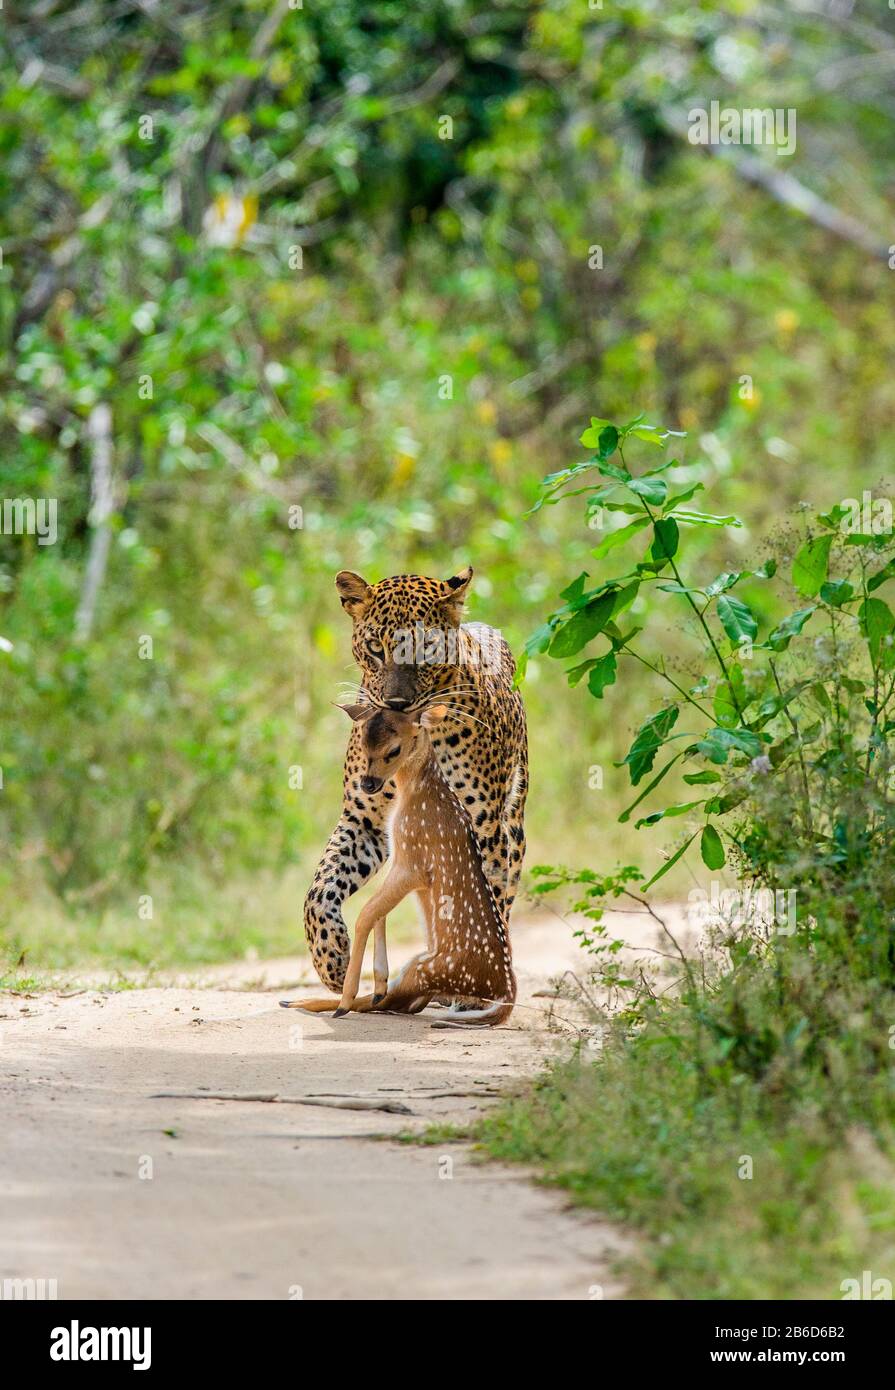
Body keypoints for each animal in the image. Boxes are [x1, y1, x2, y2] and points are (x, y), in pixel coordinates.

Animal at [300, 565, 528, 992]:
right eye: (375, 647)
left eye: (428, 648)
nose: (397, 704)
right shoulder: (365, 819)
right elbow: (319, 889)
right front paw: (333, 961)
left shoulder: (481, 829)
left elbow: (482, 904)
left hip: (512, 825)